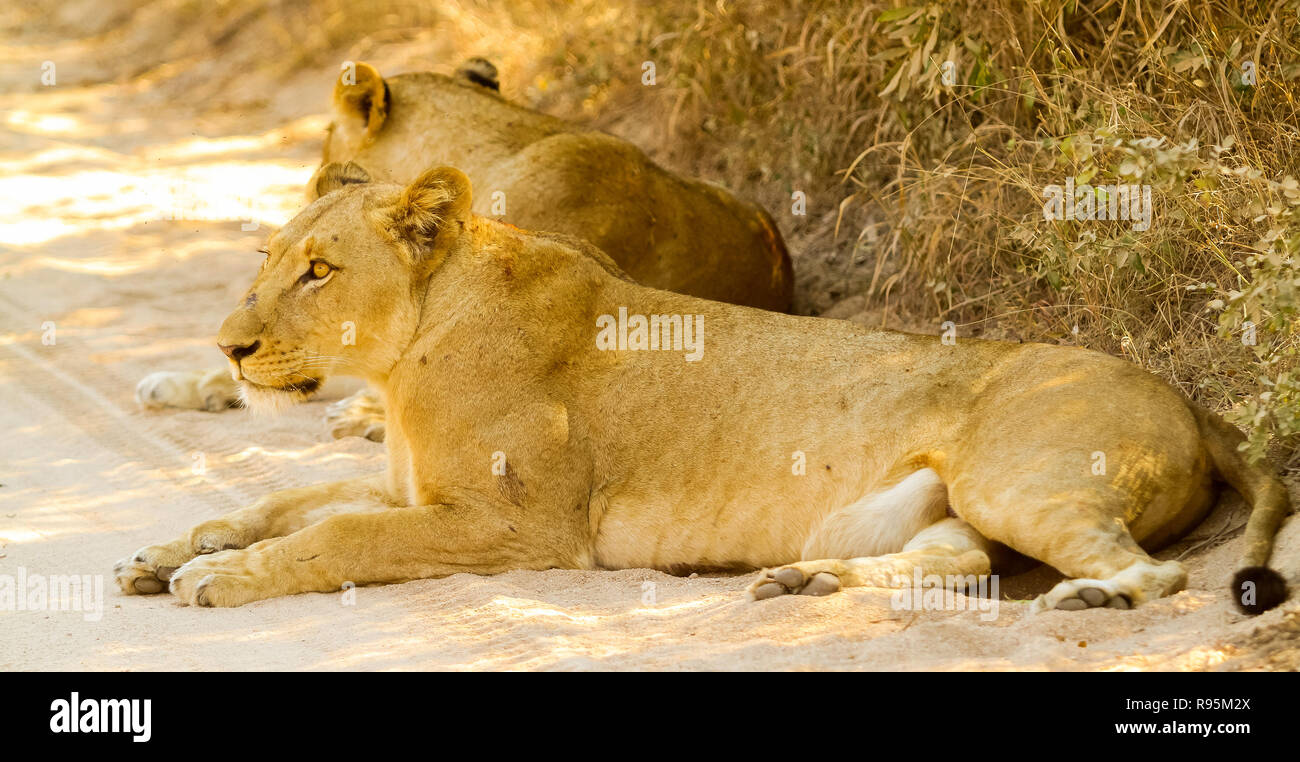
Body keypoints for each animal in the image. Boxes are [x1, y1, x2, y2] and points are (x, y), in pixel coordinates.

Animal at [114, 164, 1291, 615]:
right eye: (268, 260)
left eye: (318, 271)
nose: (227, 349)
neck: (403, 362)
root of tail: (1188, 397)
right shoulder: (422, 493)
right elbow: (283, 500)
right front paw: (166, 551)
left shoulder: (514, 526)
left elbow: (336, 536)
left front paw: (216, 577)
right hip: (949, 504)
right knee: (957, 564)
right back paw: (803, 582)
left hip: (1019, 476)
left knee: (1152, 574)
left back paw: (1094, 599)